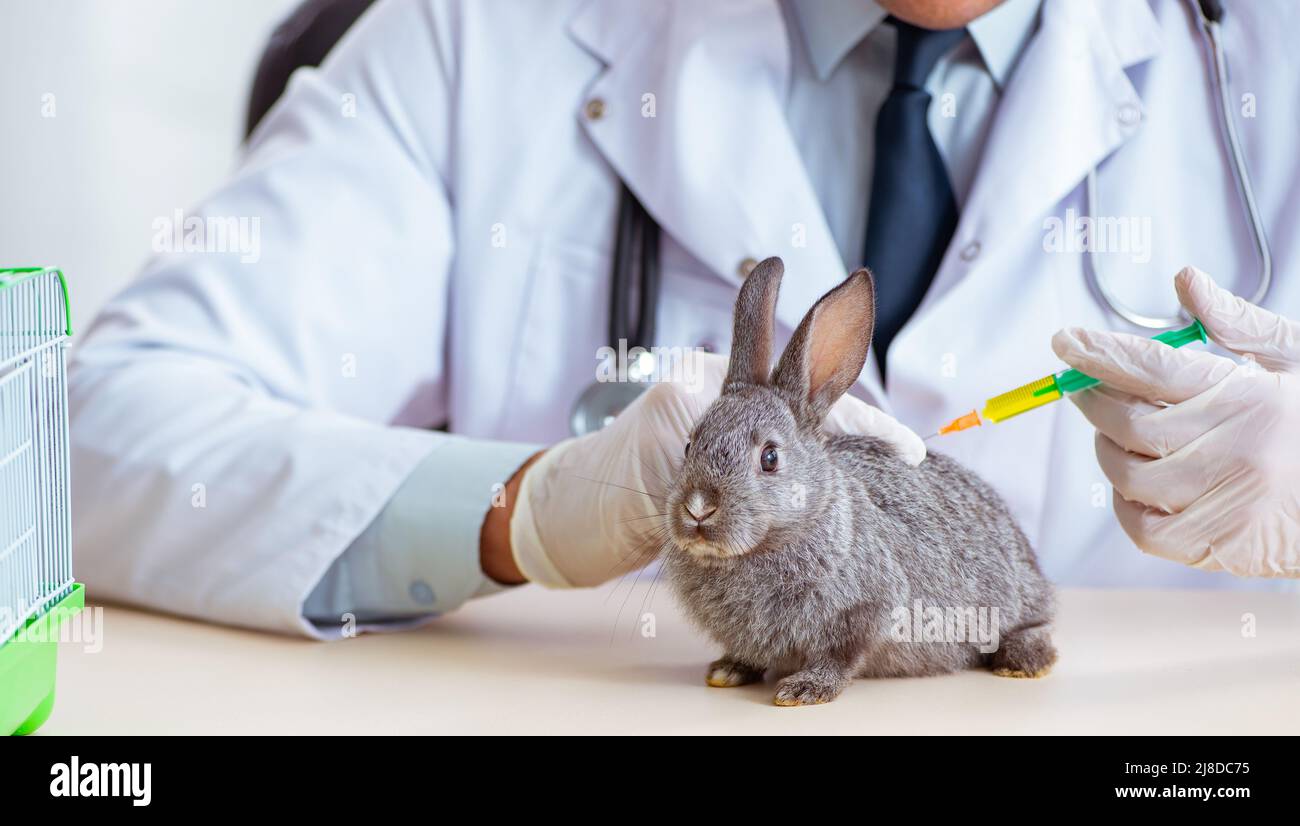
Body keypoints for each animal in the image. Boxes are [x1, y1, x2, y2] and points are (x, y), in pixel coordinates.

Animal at [662, 256, 1057, 707]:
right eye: (689, 444)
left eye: (769, 457)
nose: (698, 507)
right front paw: (728, 670)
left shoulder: (870, 609)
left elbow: (843, 654)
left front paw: (804, 689)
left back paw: (1022, 661)